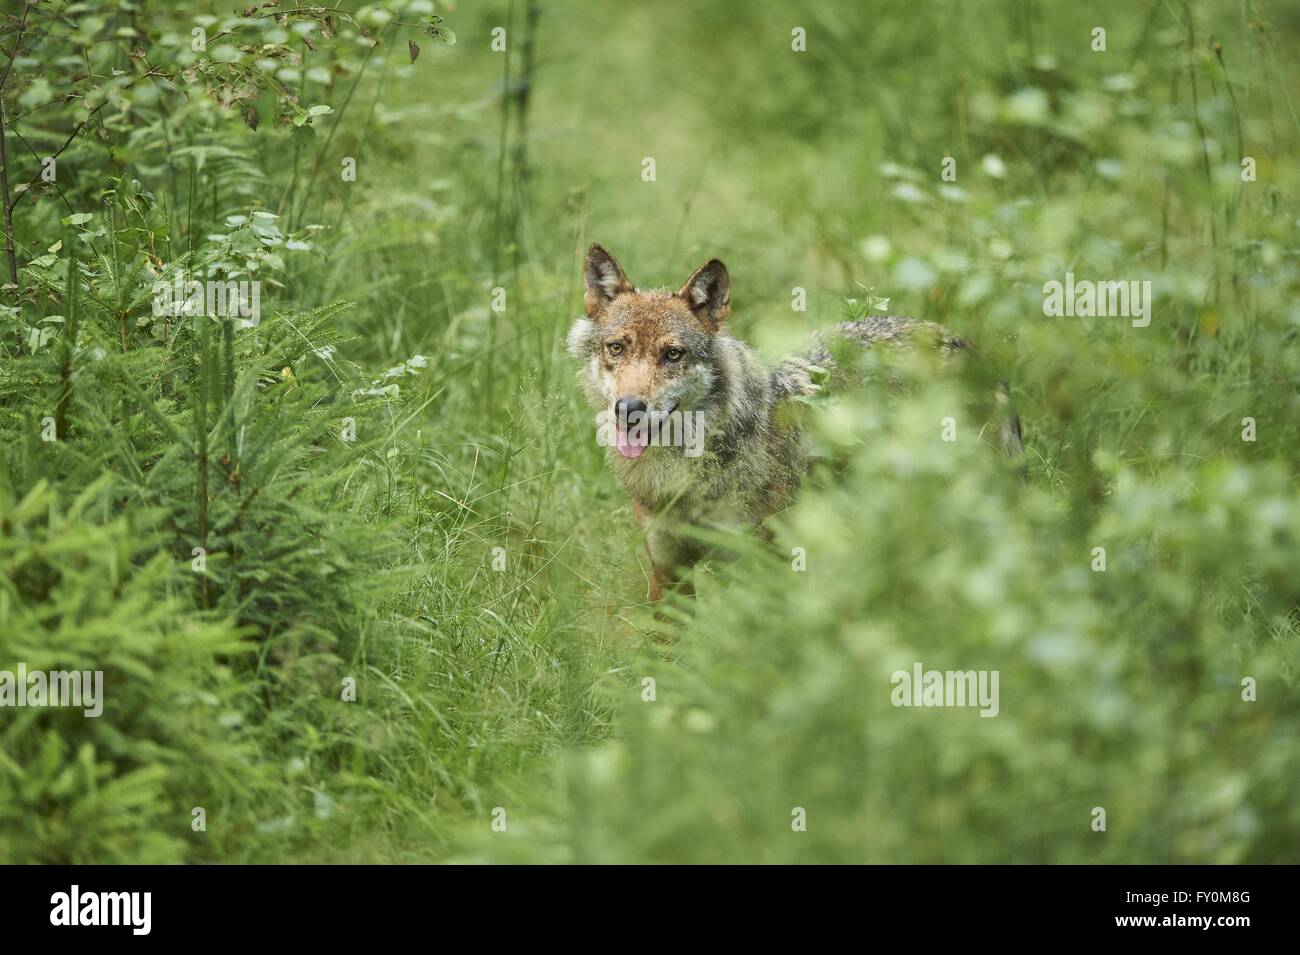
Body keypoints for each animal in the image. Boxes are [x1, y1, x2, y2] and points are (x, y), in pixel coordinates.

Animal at [567, 244, 1020, 602]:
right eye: (617, 348)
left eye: (673, 355)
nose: (628, 407)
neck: (683, 476)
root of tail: (968, 347)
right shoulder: (669, 573)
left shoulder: (761, 568)